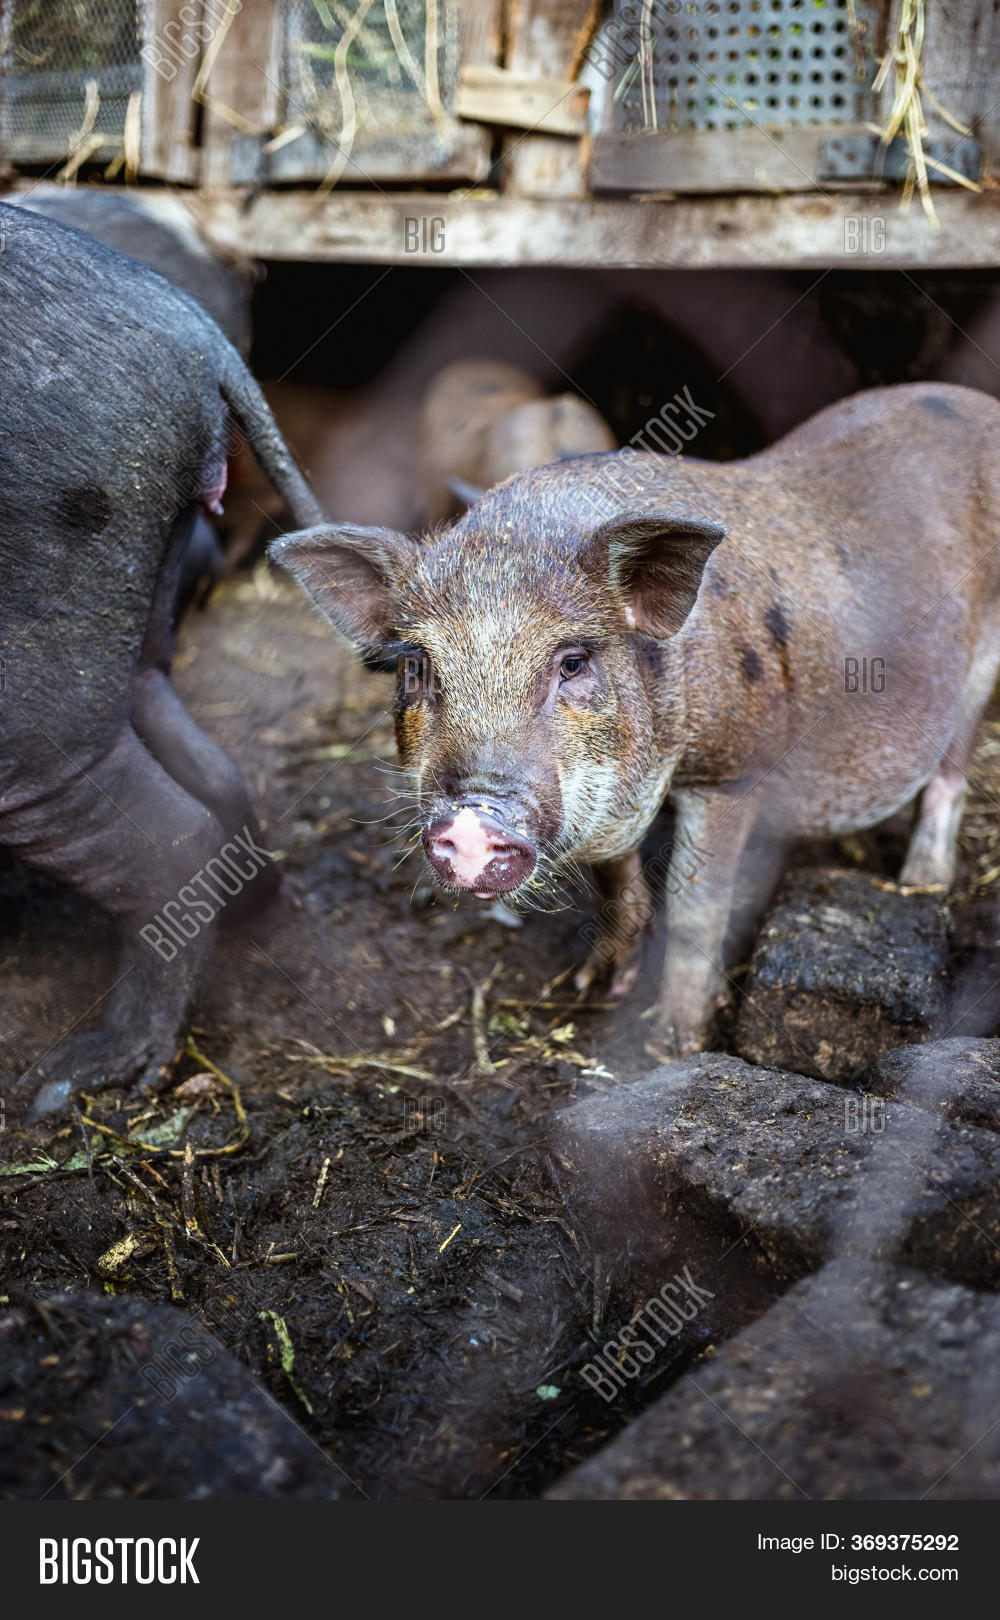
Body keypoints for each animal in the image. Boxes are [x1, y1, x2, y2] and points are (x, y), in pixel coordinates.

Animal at [0, 202, 323, 1118]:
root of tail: (198, 336)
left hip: (30, 697)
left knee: (167, 836)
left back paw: (68, 1081)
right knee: (201, 759)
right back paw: (253, 905)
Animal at [273, 382, 1000, 1061]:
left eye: (572, 661)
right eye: (419, 665)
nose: (474, 819)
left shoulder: (733, 770)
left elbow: (696, 902)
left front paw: (673, 1045)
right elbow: (615, 881)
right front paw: (592, 986)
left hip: (983, 657)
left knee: (954, 764)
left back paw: (921, 880)